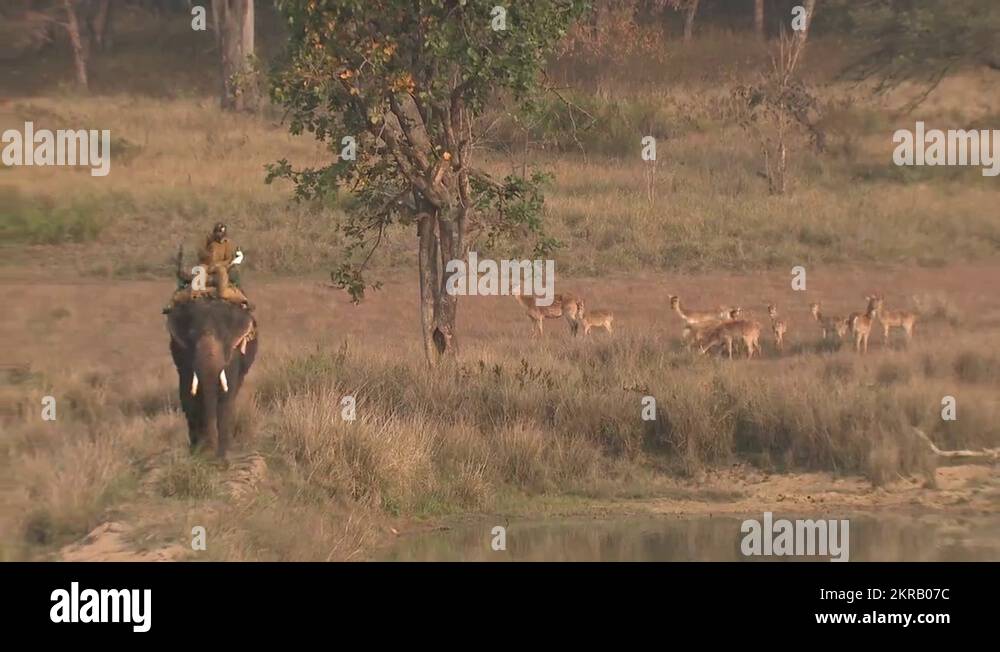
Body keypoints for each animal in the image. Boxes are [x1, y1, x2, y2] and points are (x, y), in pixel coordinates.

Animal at [166, 300, 258, 459]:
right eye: (191, 336)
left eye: (226, 337)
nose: (210, 451)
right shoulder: (182, 354)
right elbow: (188, 395)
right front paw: (198, 453)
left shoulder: (233, 354)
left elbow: (226, 395)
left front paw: (221, 454)